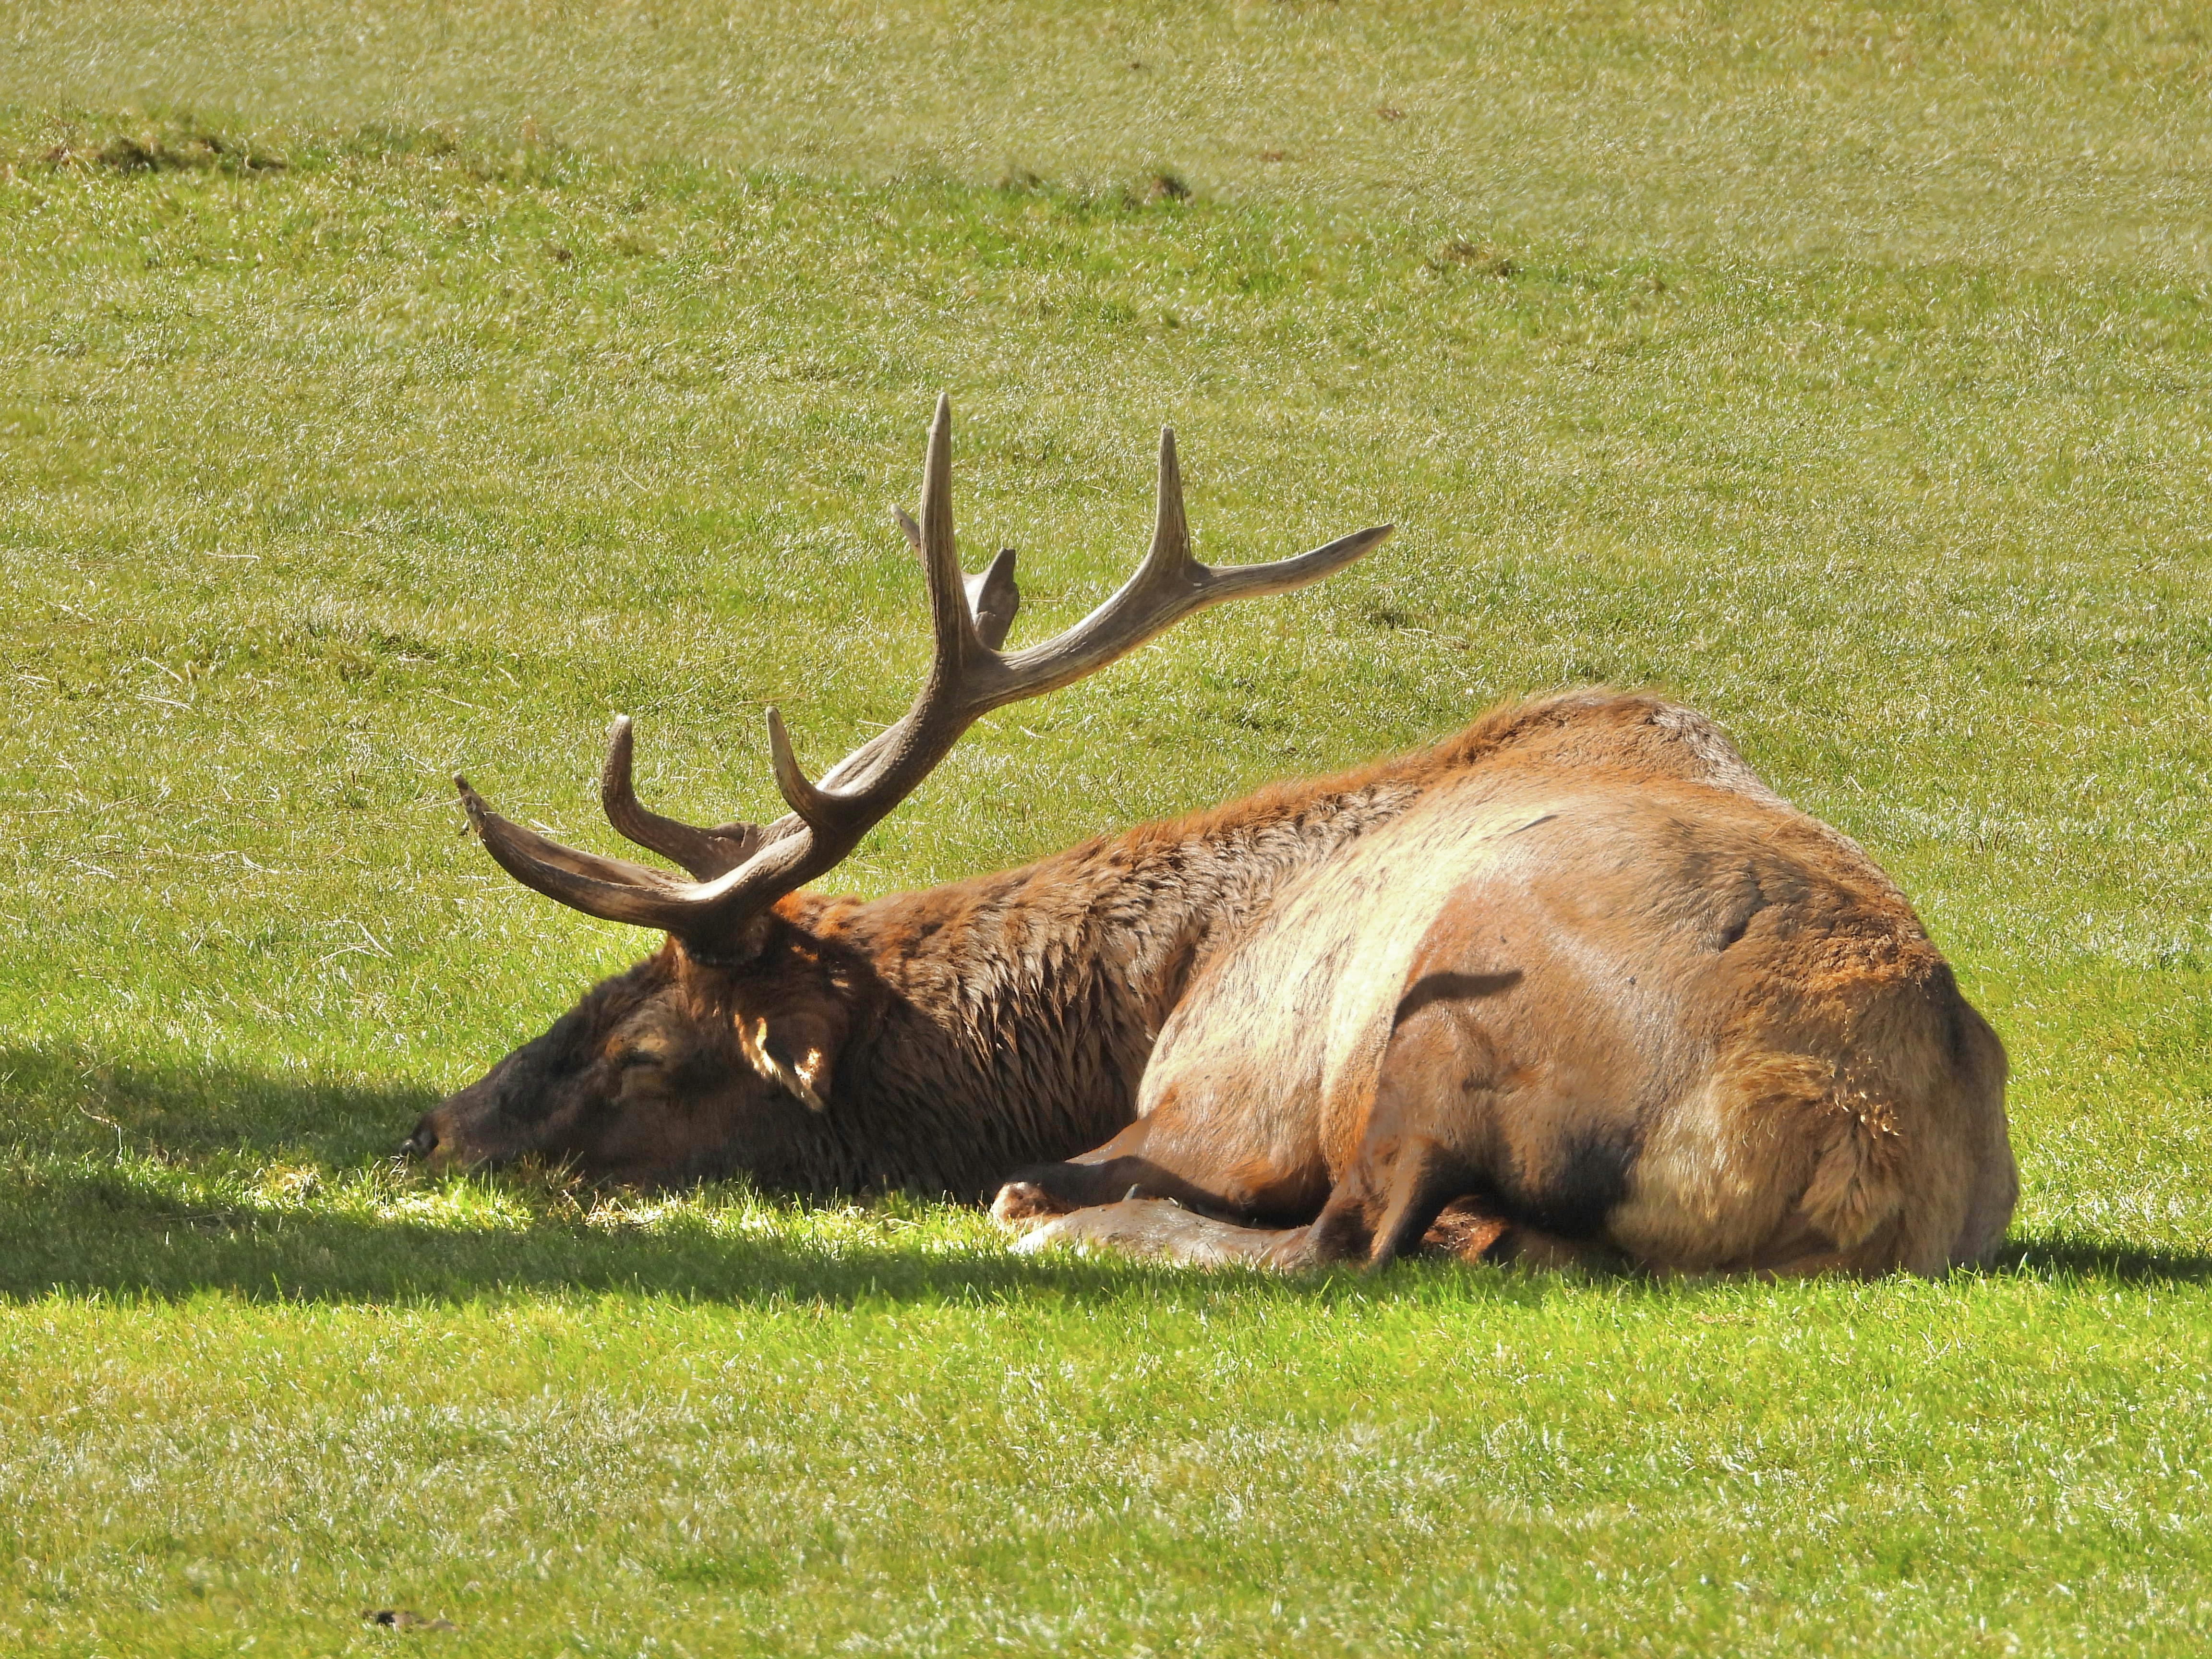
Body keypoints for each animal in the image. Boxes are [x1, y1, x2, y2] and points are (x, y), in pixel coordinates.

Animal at [409, 397, 2017, 1276]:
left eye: (641, 1055)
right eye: (591, 1000)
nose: (435, 1128)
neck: (1141, 996)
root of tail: (1849, 1145)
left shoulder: (1219, 1101)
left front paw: (1038, 1195)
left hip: (1446, 1012)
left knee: (1348, 1241)